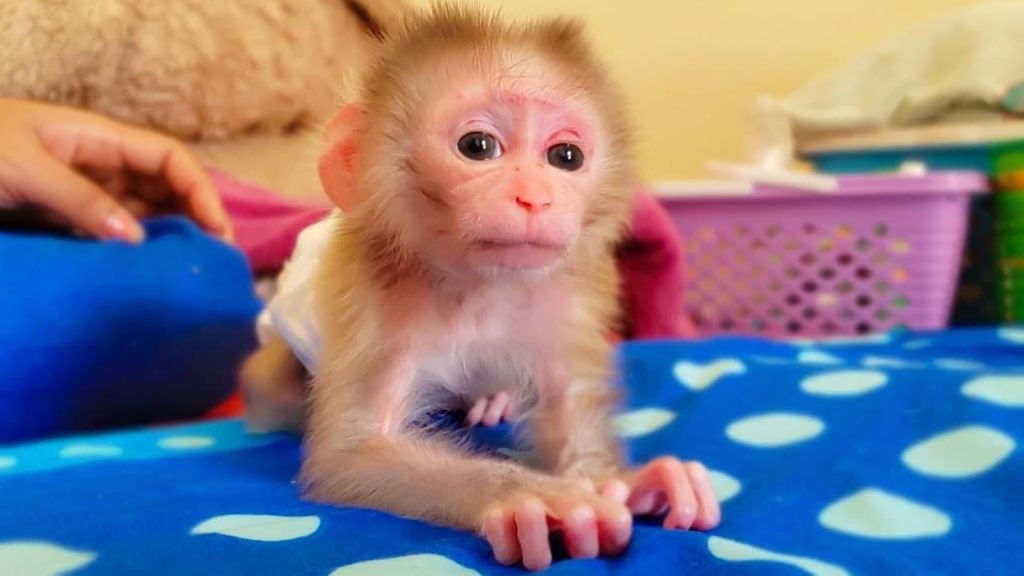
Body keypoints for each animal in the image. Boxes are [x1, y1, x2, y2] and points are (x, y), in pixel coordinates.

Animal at [241, 4, 720, 571]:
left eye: (566, 157)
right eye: (478, 146)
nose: (534, 197)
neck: (480, 288)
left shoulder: (568, 294)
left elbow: (566, 399)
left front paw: (622, 483)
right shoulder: (374, 296)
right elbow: (353, 453)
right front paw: (530, 497)